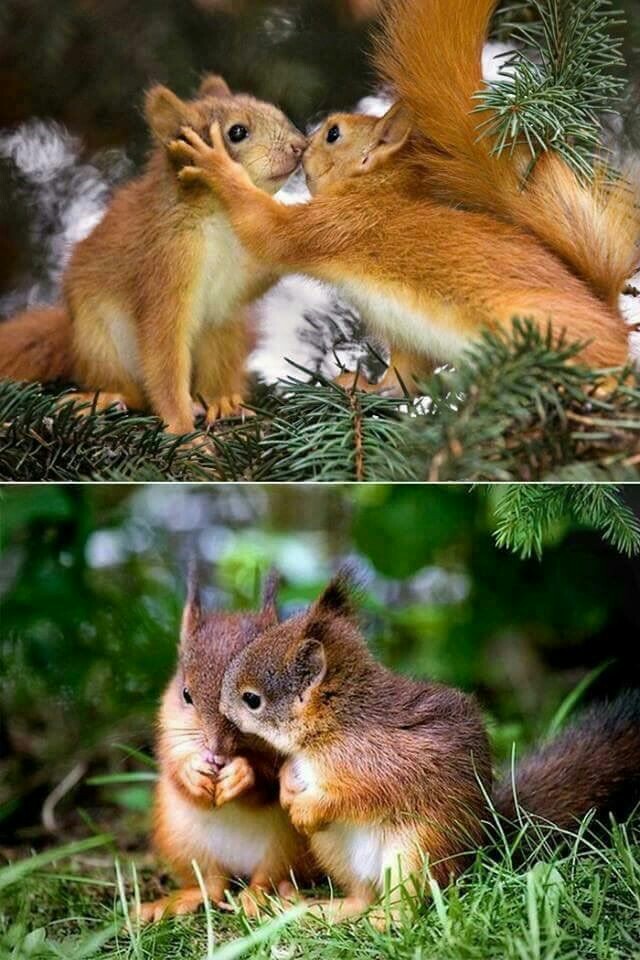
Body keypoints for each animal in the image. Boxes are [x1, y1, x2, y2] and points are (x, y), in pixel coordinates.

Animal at [0, 75, 306, 436]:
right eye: (237, 132)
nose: (301, 146)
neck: (221, 218)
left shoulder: (239, 277)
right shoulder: (165, 265)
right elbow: (164, 356)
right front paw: (183, 431)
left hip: (227, 329)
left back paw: (223, 401)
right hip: (100, 341)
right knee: (133, 391)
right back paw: (106, 399)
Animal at [139, 566, 314, 922]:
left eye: (253, 699)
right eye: (186, 695)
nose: (217, 752)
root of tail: (237, 866)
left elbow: (270, 780)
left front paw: (242, 773)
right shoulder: (169, 731)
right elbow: (172, 765)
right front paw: (192, 771)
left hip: (287, 845)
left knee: (267, 877)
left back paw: (260, 899)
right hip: (182, 840)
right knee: (211, 884)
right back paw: (174, 902)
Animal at [168, 0, 639, 392]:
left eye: (334, 134)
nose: (301, 144)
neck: (375, 191)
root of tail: (610, 318)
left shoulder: (338, 222)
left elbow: (268, 230)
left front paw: (216, 164)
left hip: (542, 327)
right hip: (414, 337)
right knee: (407, 377)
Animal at [220, 569, 640, 927]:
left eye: (252, 700)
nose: (221, 710)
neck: (334, 727)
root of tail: (483, 842)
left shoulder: (377, 764)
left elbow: (354, 796)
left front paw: (306, 807)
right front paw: (288, 789)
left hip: (417, 851)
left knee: (408, 904)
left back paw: (386, 919)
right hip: (333, 849)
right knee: (363, 896)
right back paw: (323, 908)